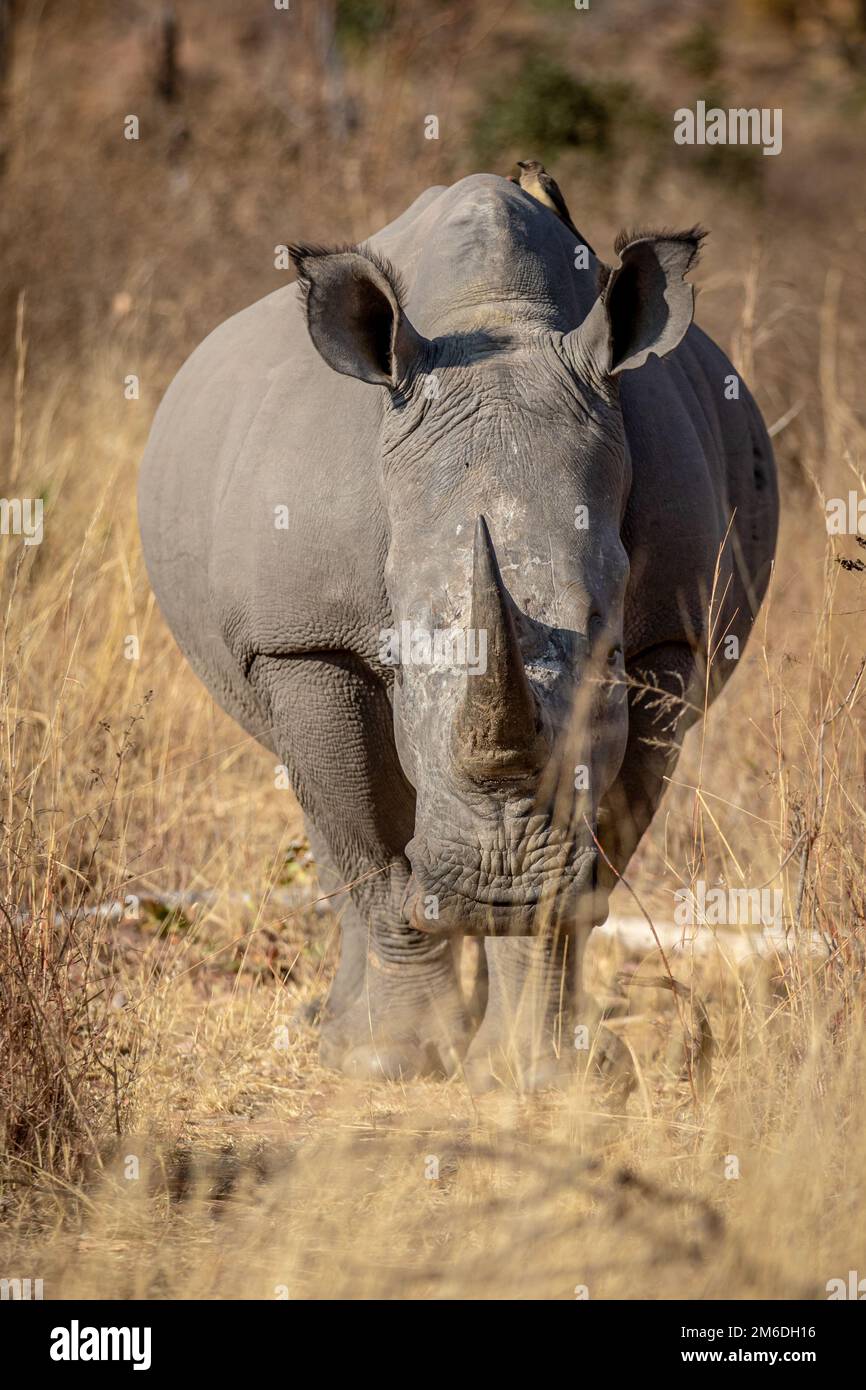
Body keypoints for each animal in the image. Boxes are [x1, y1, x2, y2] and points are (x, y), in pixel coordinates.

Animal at [139, 172, 778, 1089]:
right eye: (402, 652)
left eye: (609, 648)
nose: (497, 885)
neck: (501, 316)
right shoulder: (306, 640)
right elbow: (370, 840)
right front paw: (387, 1062)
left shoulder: (671, 641)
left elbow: (598, 853)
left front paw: (540, 1079)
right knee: (324, 812)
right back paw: (335, 1030)